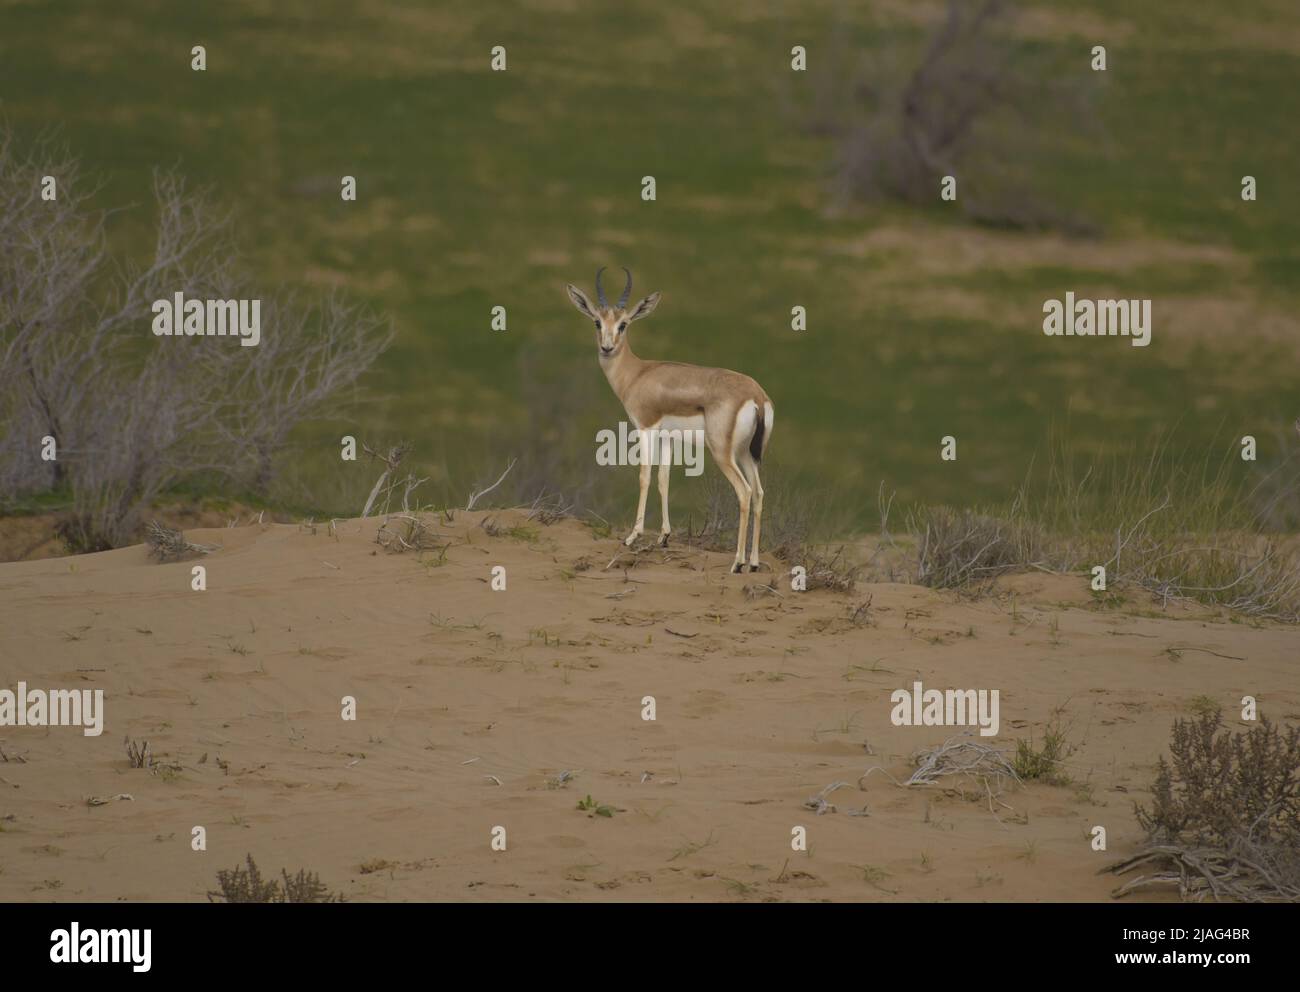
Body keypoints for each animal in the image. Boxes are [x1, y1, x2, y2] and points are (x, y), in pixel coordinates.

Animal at [566, 268, 774, 573]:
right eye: (597, 322)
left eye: (623, 324)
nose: (606, 347)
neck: (638, 374)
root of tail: (756, 395)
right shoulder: (668, 437)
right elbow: (663, 478)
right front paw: (664, 536)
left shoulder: (645, 428)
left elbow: (644, 476)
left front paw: (632, 537)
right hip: (746, 453)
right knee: (758, 493)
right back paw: (755, 563)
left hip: (723, 453)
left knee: (745, 492)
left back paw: (737, 563)